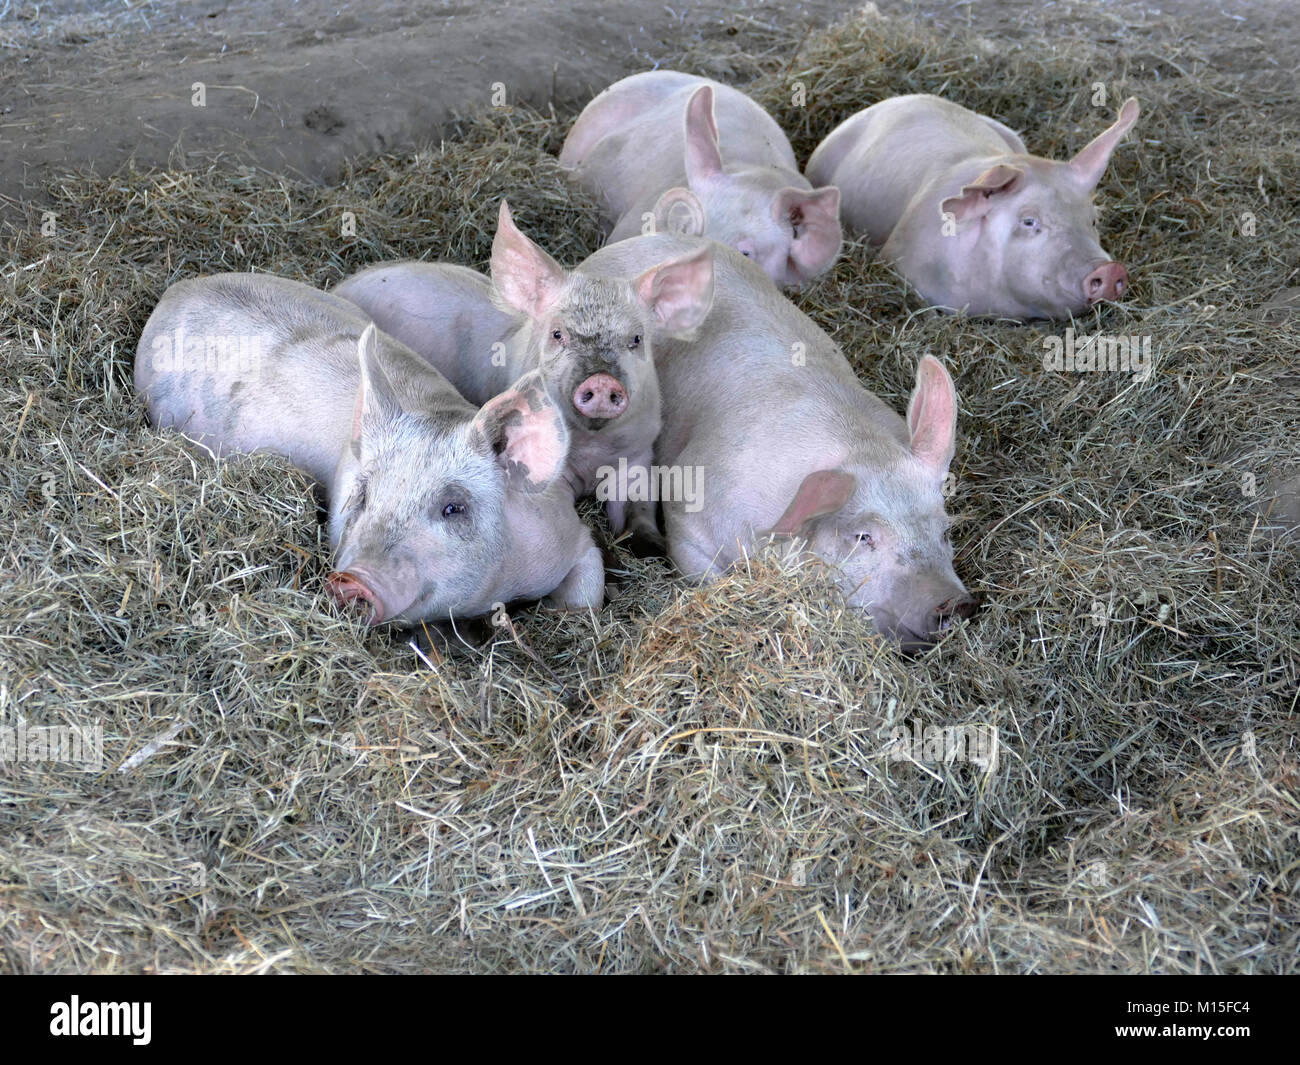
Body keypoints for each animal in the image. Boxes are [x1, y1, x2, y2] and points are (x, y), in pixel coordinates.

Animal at [134, 272, 605, 624]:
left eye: (454, 507)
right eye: (363, 496)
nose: (353, 580)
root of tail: (178, 289)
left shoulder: (566, 532)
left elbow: (589, 590)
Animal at [333, 200, 715, 552]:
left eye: (636, 339)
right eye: (558, 334)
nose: (602, 380)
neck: (594, 451)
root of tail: (344, 285)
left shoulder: (639, 455)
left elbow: (639, 505)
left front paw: (652, 545)